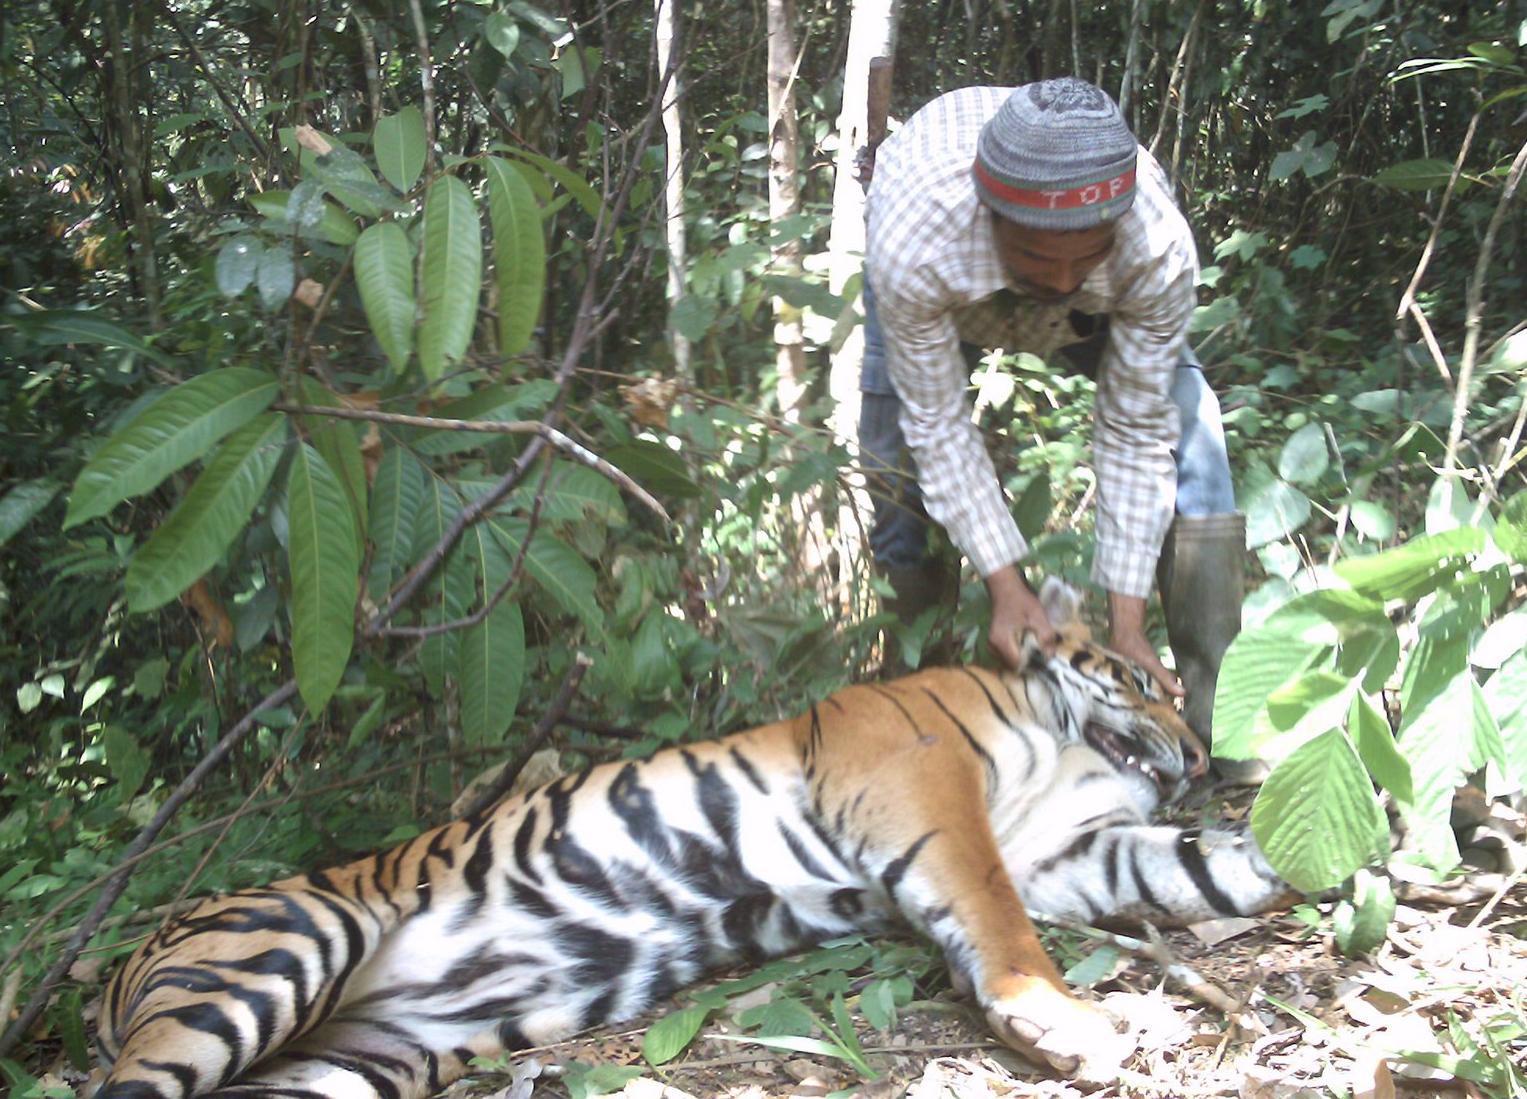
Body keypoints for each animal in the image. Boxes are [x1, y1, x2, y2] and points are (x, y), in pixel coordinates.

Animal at [92, 580, 1292, 1098]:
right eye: (1142, 679)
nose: (1197, 753)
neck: (1060, 733)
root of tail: (115, 967)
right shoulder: (923, 781)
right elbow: (992, 911)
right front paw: (1062, 1022)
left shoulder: (1069, 853)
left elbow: (1199, 865)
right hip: (271, 950)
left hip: (349, 1061)